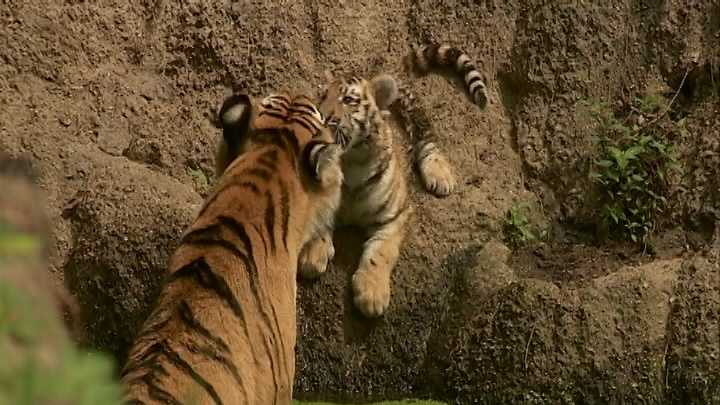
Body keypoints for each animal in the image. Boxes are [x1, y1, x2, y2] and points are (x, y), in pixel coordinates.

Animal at [298, 43, 488, 318]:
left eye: (348, 100)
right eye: (321, 98)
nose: (320, 117)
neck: (349, 164)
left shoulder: (396, 216)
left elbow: (381, 252)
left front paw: (372, 294)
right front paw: (312, 255)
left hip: (415, 113)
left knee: (427, 139)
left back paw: (440, 175)